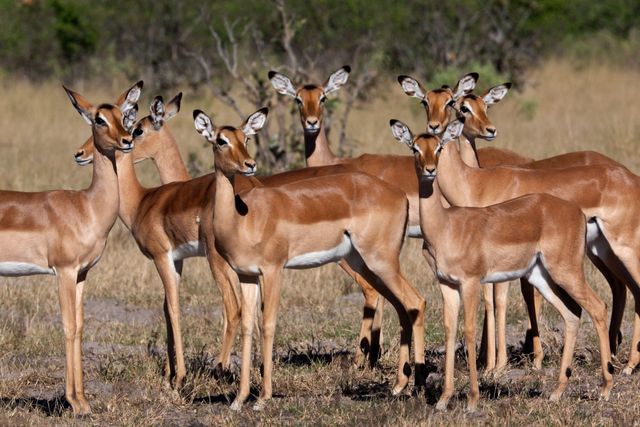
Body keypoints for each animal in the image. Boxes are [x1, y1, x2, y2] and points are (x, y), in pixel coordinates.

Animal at [0, 84, 137, 414]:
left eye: (123, 115)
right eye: (99, 119)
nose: (127, 141)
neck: (86, 207)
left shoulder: (81, 274)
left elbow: (80, 326)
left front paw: (84, 401)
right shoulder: (63, 271)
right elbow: (67, 326)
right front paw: (74, 402)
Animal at [193, 108, 426, 411]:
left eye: (245, 138)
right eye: (221, 140)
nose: (249, 164)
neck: (242, 218)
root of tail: (398, 194)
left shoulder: (273, 270)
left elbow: (267, 324)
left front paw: (263, 397)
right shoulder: (247, 275)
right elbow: (247, 326)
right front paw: (239, 398)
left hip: (381, 262)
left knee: (416, 301)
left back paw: (417, 385)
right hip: (367, 265)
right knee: (403, 307)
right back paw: (399, 386)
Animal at [389, 117, 614, 411]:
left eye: (439, 147)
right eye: (415, 148)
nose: (430, 170)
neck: (446, 226)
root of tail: (576, 212)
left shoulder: (471, 282)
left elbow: (470, 331)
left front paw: (473, 398)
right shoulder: (447, 285)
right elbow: (450, 331)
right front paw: (444, 399)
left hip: (566, 271)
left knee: (598, 307)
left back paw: (605, 389)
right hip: (540, 276)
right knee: (572, 314)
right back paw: (557, 392)